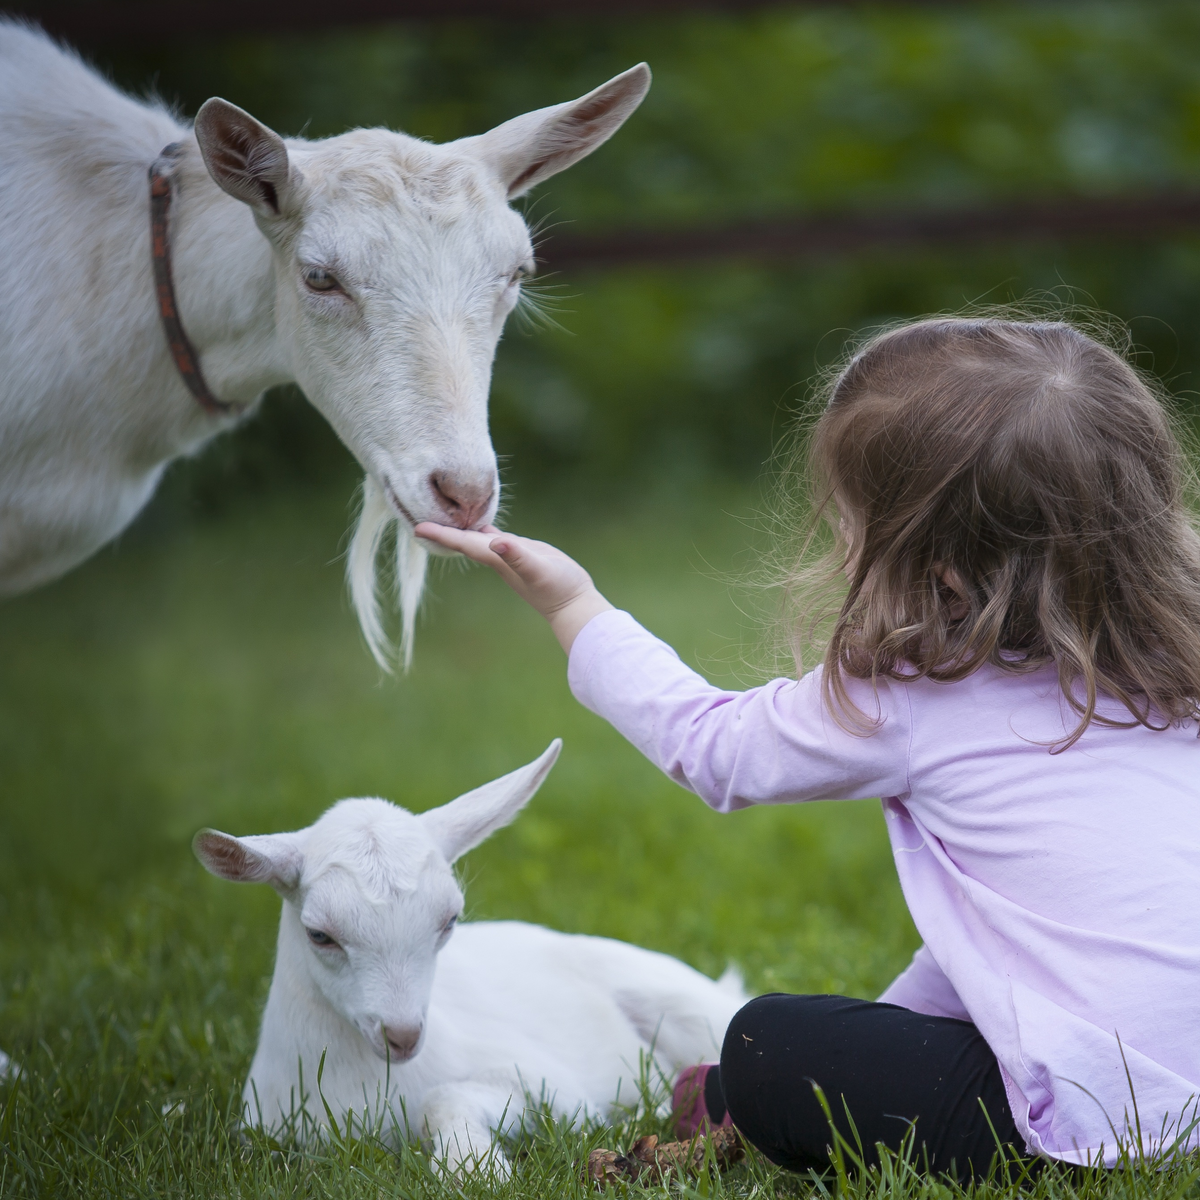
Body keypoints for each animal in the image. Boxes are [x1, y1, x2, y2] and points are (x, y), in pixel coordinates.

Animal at [193, 741, 747, 1173]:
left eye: (449, 921)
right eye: (320, 935)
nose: (403, 1036)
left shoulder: (555, 1086)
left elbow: (446, 1097)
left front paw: (474, 1169)